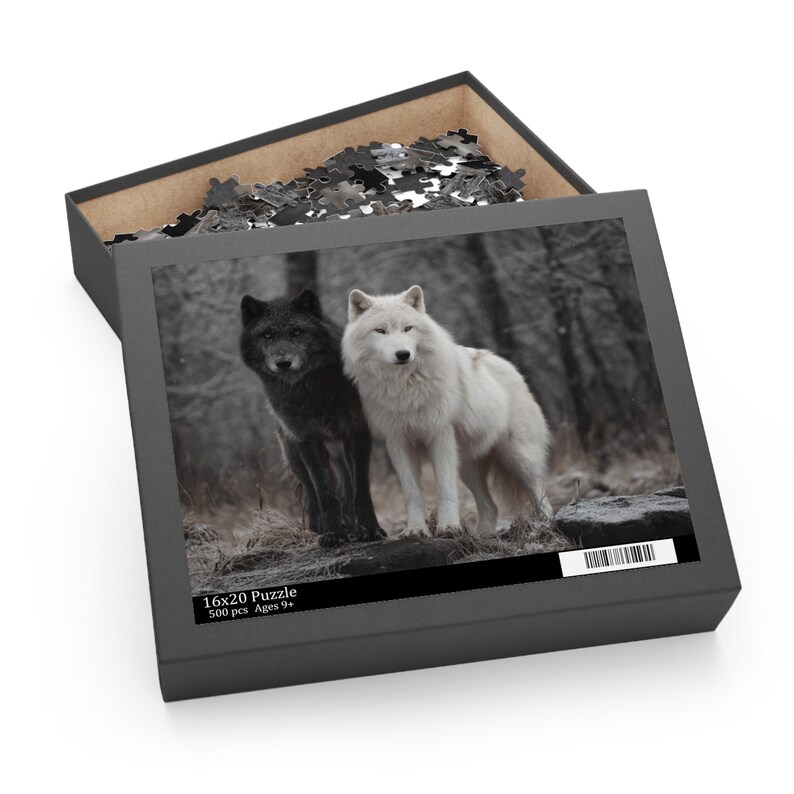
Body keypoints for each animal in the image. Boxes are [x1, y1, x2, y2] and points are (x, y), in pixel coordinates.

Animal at [240, 289, 386, 547]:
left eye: (296, 331)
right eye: (267, 335)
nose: (283, 362)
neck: (311, 391)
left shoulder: (356, 432)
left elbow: (360, 490)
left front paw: (369, 529)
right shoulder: (308, 439)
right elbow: (324, 492)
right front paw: (332, 533)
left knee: (347, 488)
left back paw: (352, 527)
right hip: (294, 455)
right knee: (310, 492)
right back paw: (320, 528)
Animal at [342, 285, 551, 538]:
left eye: (407, 328)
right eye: (380, 331)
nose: (403, 354)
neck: (404, 388)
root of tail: (509, 365)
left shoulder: (440, 434)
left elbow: (445, 488)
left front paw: (449, 527)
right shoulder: (398, 442)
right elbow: (412, 492)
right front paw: (415, 530)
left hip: (519, 457)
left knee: (540, 495)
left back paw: (545, 526)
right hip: (468, 467)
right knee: (491, 506)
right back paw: (483, 535)